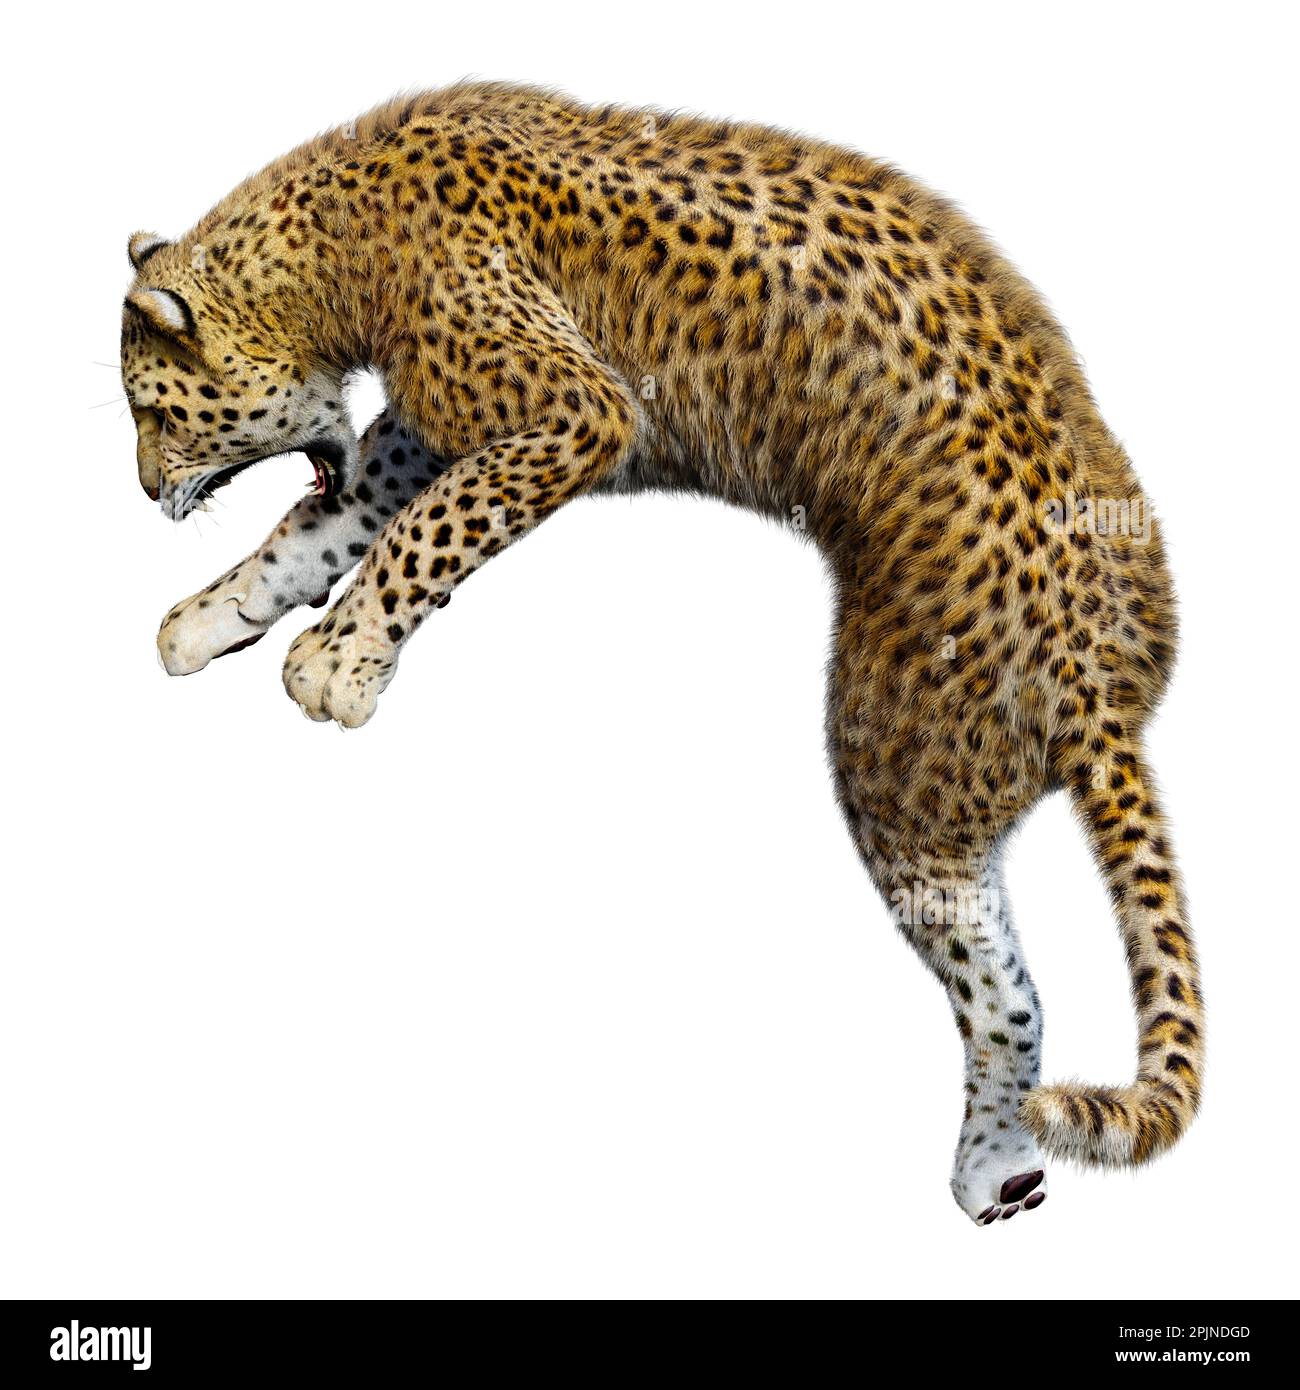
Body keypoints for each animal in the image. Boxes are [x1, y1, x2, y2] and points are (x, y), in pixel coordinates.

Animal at [121, 81, 1201, 1223]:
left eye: (153, 413)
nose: (145, 491)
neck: (328, 256)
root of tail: (1100, 692)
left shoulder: (573, 409)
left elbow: (425, 531)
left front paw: (339, 660)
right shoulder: (432, 425)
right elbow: (328, 527)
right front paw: (215, 617)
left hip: (893, 753)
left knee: (988, 976)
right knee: (1008, 986)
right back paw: (1000, 1169)